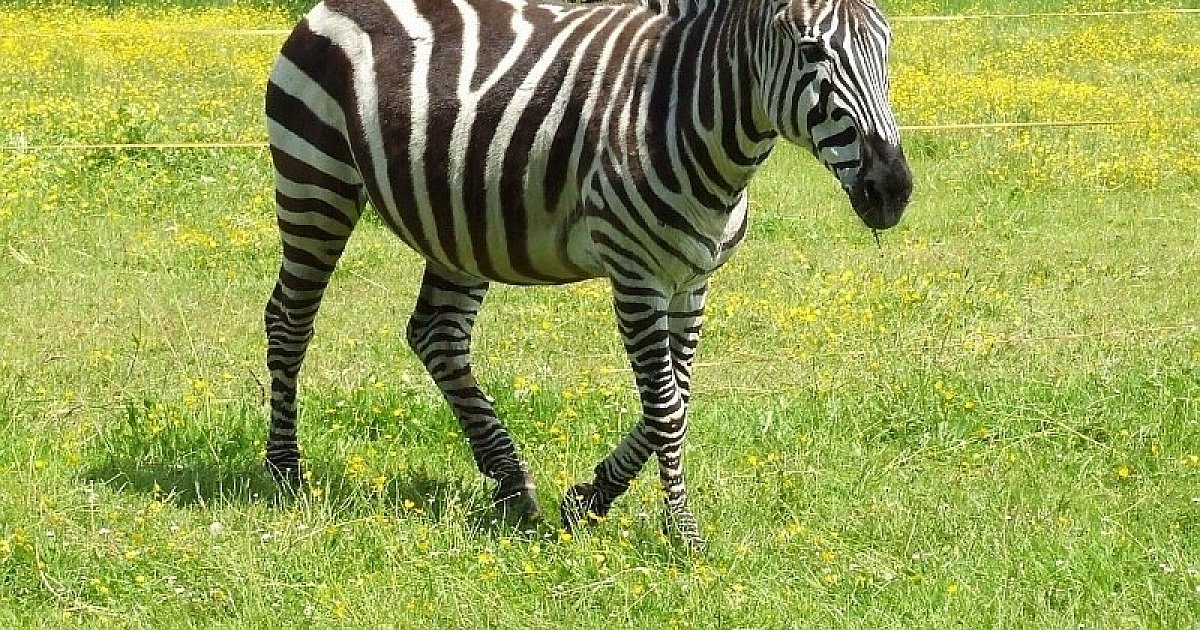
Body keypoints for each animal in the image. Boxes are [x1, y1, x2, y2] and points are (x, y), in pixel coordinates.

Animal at [263, 0, 912, 548]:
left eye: (887, 45)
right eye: (812, 49)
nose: (893, 190)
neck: (684, 108)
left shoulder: (692, 280)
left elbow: (676, 400)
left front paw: (588, 499)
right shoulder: (635, 276)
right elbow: (666, 406)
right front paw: (684, 535)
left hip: (456, 222)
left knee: (436, 335)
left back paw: (510, 482)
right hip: (315, 181)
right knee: (289, 320)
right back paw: (286, 470)